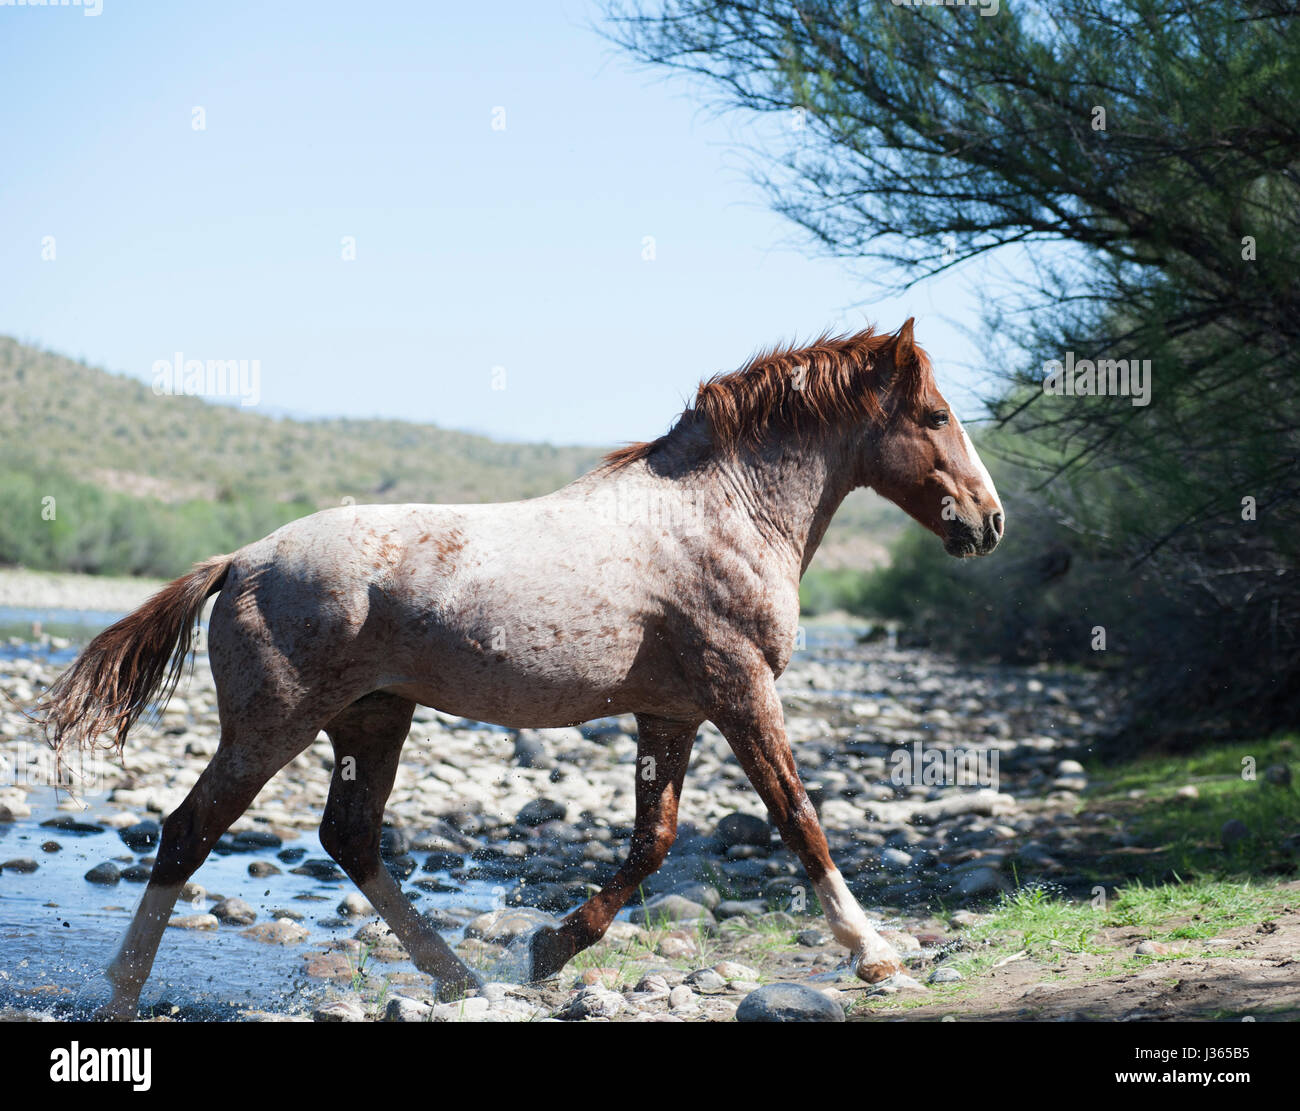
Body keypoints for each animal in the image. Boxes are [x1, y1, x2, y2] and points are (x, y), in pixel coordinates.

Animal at [34, 317, 1003, 1019]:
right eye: (935, 416)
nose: (988, 522)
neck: (722, 510)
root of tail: (239, 559)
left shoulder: (672, 714)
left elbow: (652, 842)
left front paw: (549, 948)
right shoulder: (741, 693)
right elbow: (799, 820)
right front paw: (875, 954)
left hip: (371, 719)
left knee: (350, 838)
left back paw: (462, 977)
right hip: (272, 727)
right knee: (187, 833)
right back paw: (121, 996)